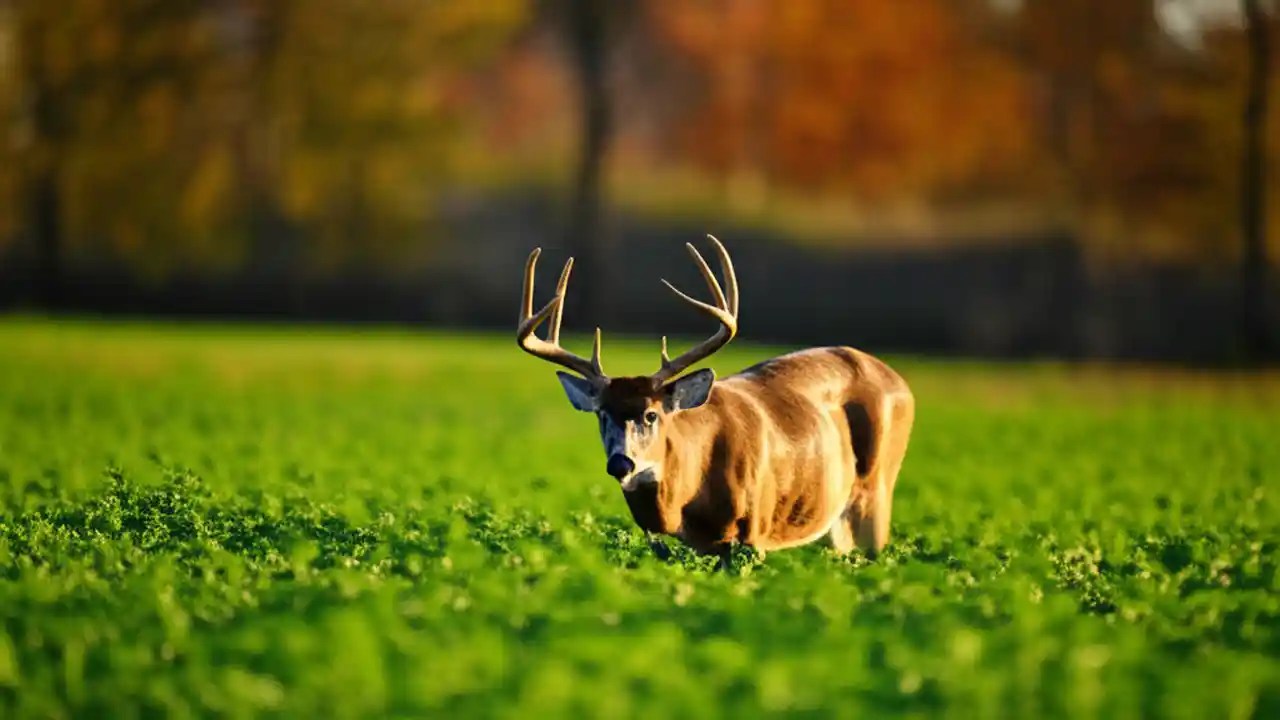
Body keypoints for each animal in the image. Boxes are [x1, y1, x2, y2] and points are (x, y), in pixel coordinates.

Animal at [516, 235, 914, 565]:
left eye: (651, 414)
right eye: (601, 414)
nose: (620, 464)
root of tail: (900, 382)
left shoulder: (753, 532)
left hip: (876, 495)